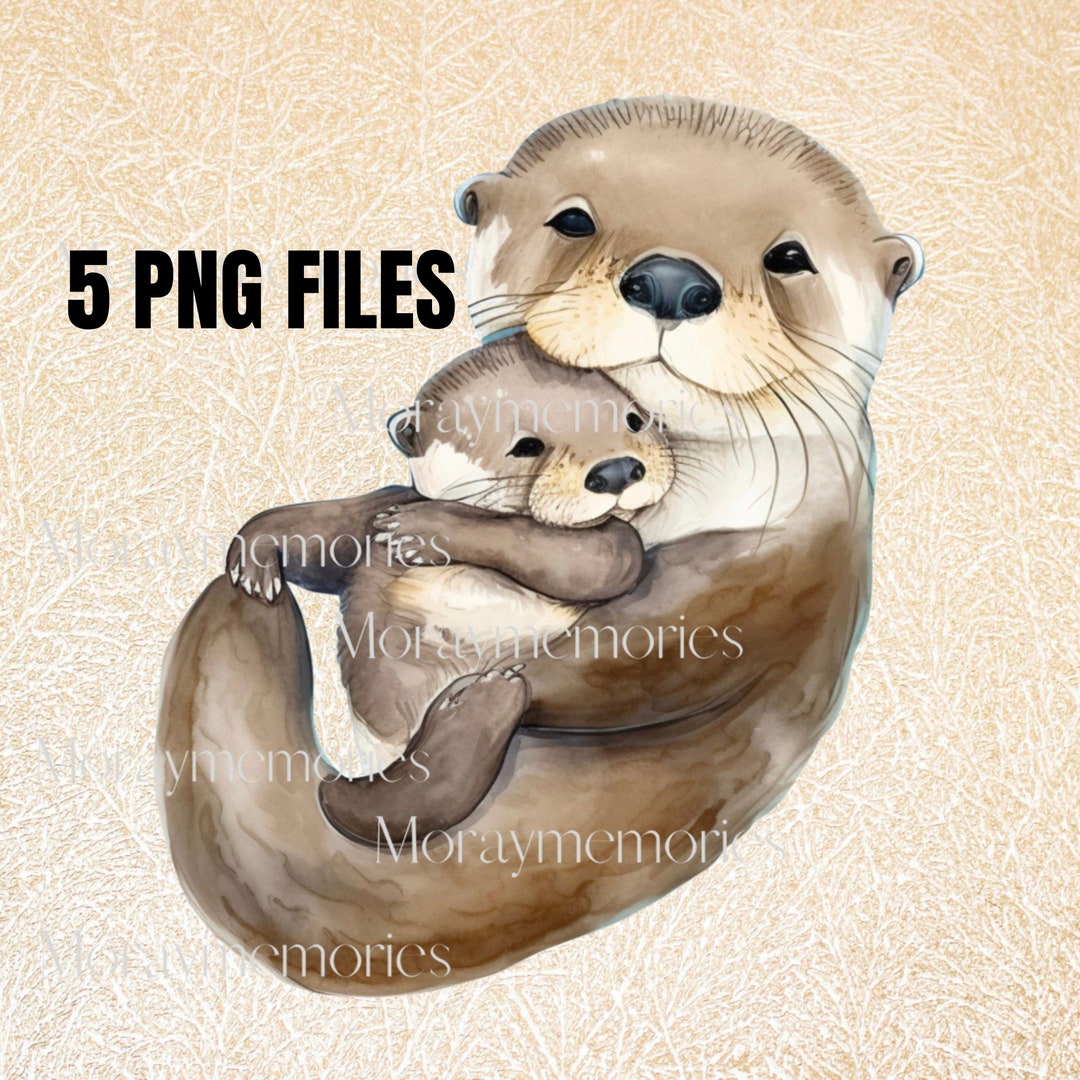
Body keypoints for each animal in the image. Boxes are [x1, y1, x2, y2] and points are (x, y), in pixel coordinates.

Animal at [225, 335, 673, 843]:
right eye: (525, 445)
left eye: (634, 419)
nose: (616, 470)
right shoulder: (375, 512)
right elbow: (319, 530)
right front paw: (254, 551)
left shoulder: (611, 542)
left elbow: (593, 559)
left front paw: (426, 528)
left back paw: (483, 702)